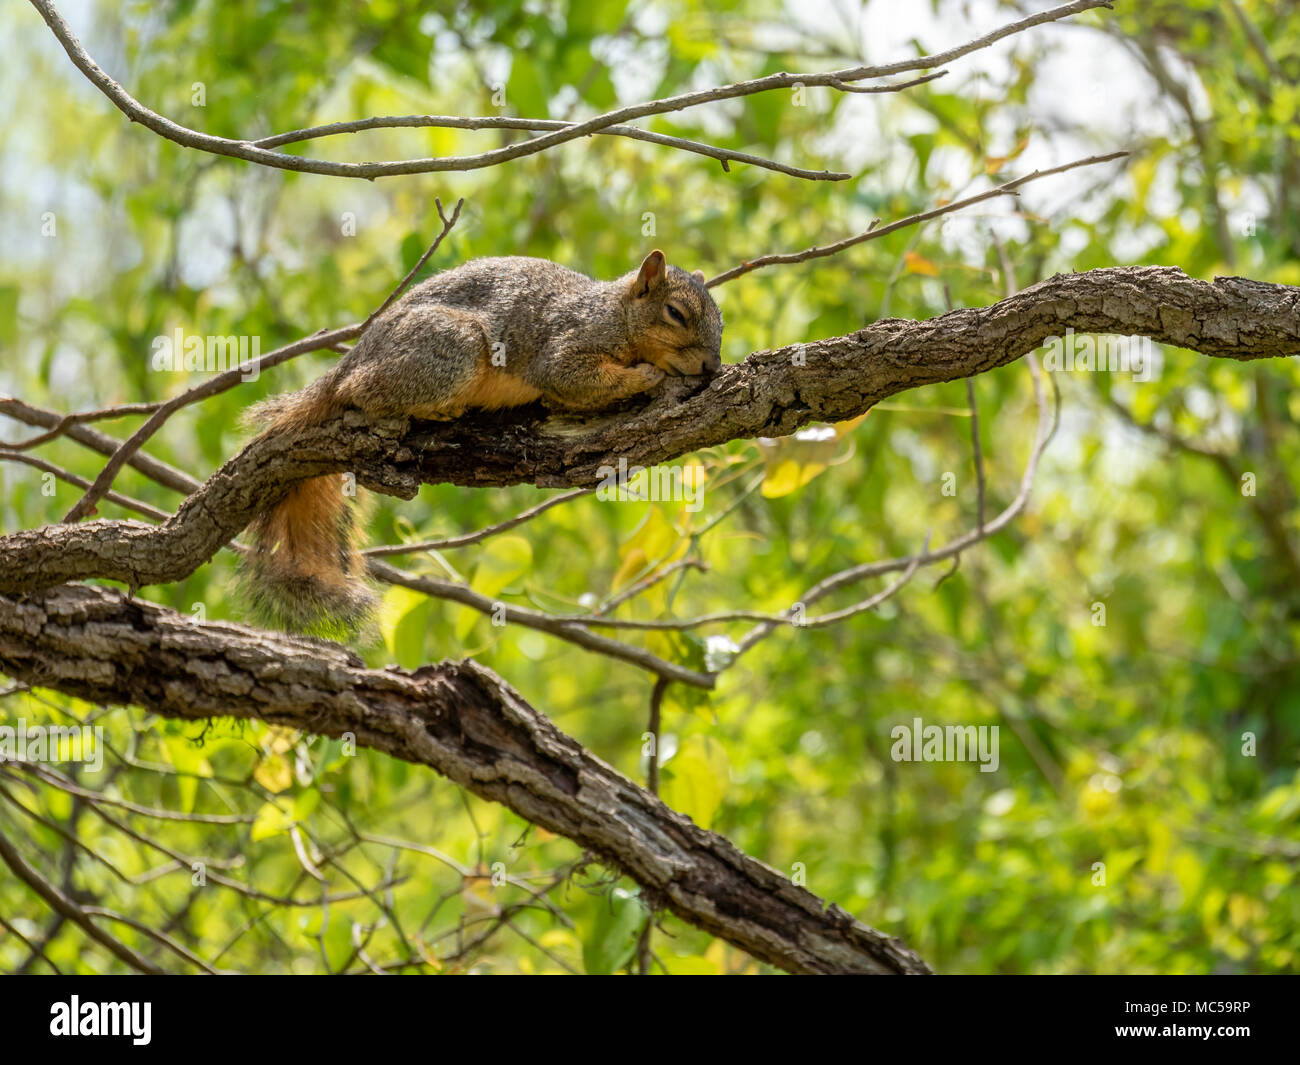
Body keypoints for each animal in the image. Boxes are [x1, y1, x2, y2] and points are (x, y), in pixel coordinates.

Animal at [242, 249, 723, 636]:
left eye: (720, 320)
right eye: (675, 313)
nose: (712, 366)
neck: (616, 314)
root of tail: (353, 358)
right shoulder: (566, 348)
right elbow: (572, 377)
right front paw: (647, 375)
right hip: (450, 348)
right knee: (361, 390)